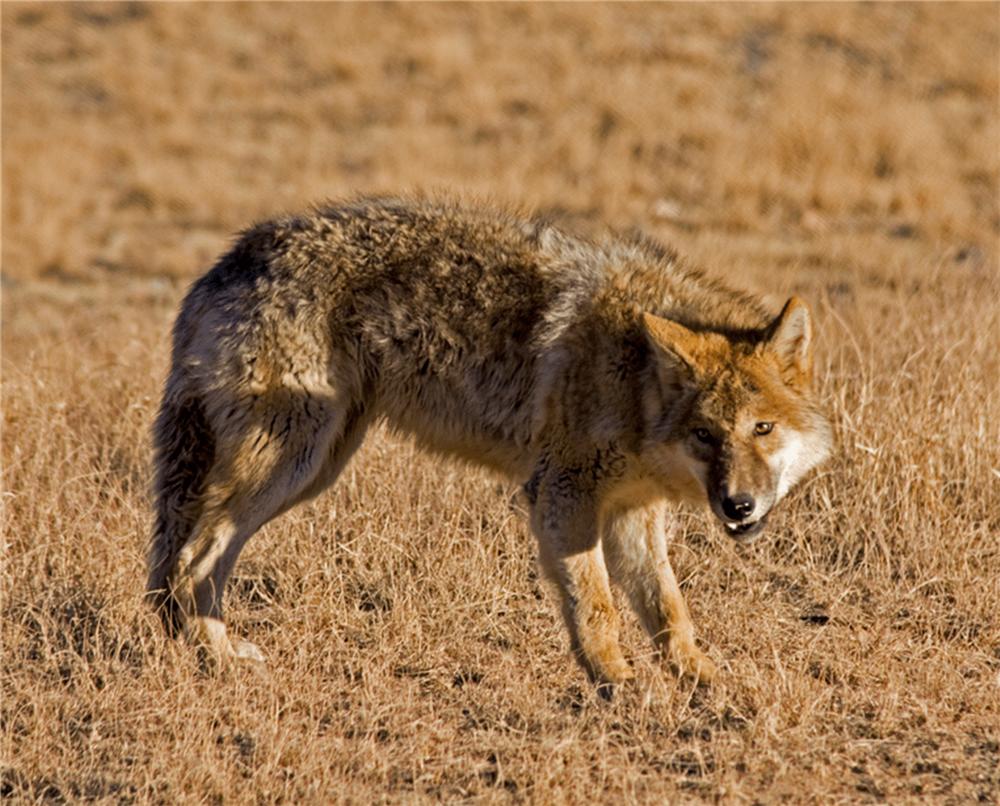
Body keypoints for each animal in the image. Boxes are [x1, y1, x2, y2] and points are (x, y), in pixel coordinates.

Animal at [147, 196, 832, 687]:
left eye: (761, 428)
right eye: (705, 435)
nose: (738, 505)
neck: (632, 376)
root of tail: (229, 261)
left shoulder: (633, 511)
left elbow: (668, 612)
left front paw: (704, 681)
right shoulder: (560, 496)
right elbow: (597, 607)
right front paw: (619, 685)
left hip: (310, 468)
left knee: (197, 563)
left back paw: (208, 649)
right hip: (291, 464)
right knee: (191, 559)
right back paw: (215, 661)